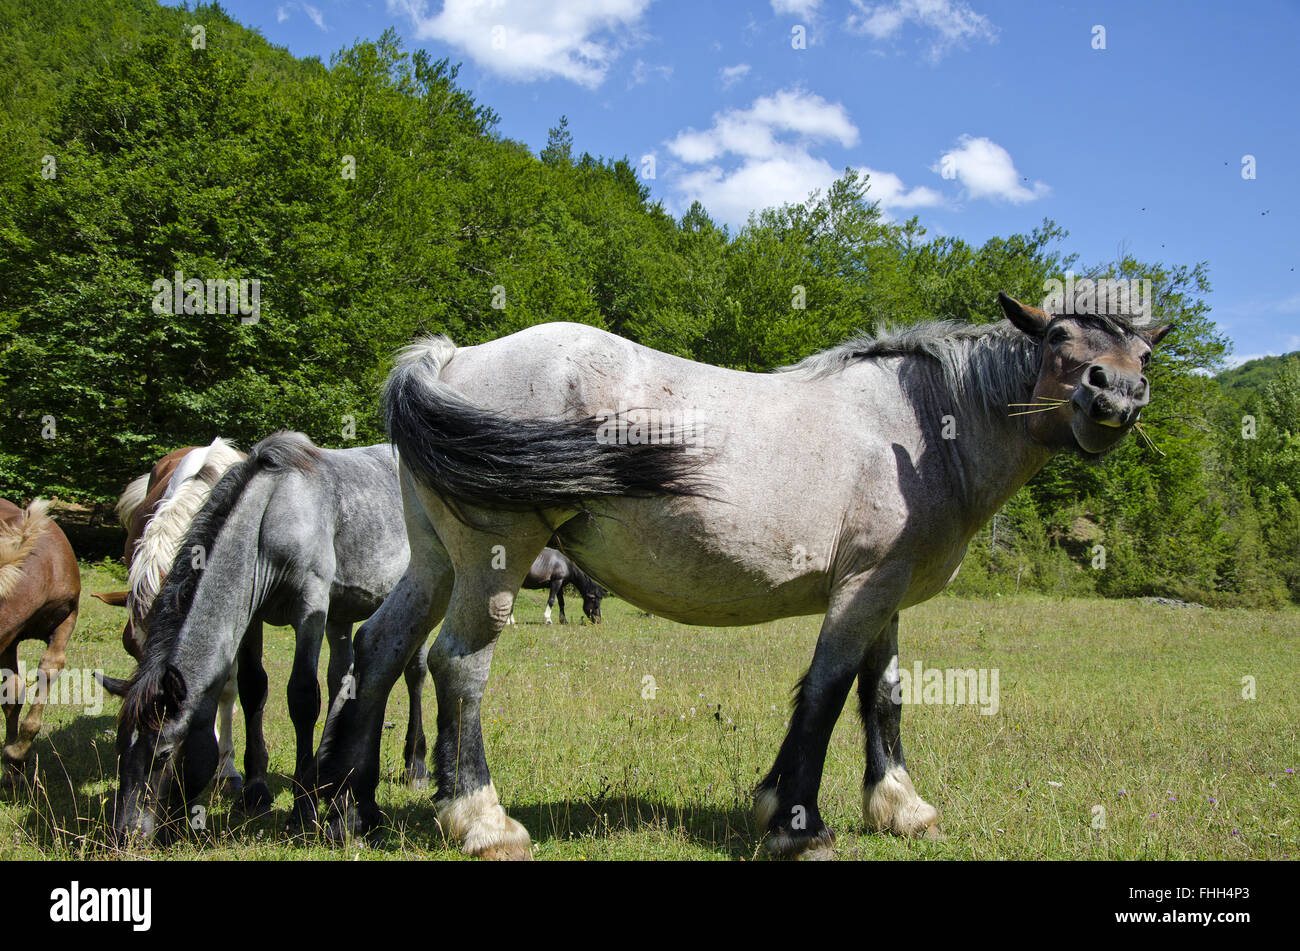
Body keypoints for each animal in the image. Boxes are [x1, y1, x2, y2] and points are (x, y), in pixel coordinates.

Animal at [0, 498, 80, 791]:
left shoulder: (67, 618)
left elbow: (50, 667)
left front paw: (16, 756)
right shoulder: (9, 639)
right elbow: (12, 694)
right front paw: (13, 762)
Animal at [309, 292, 1170, 860]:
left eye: (1145, 353)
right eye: (1058, 336)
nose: (1117, 393)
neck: (922, 425)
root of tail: (451, 356)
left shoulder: (885, 591)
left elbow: (881, 694)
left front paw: (897, 805)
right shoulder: (860, 590)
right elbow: (826, 692)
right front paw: (797, 822)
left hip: (433, 561)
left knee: (381, 649)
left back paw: (350, 810)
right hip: (493, 562)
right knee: (458, 663)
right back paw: (482, 820)